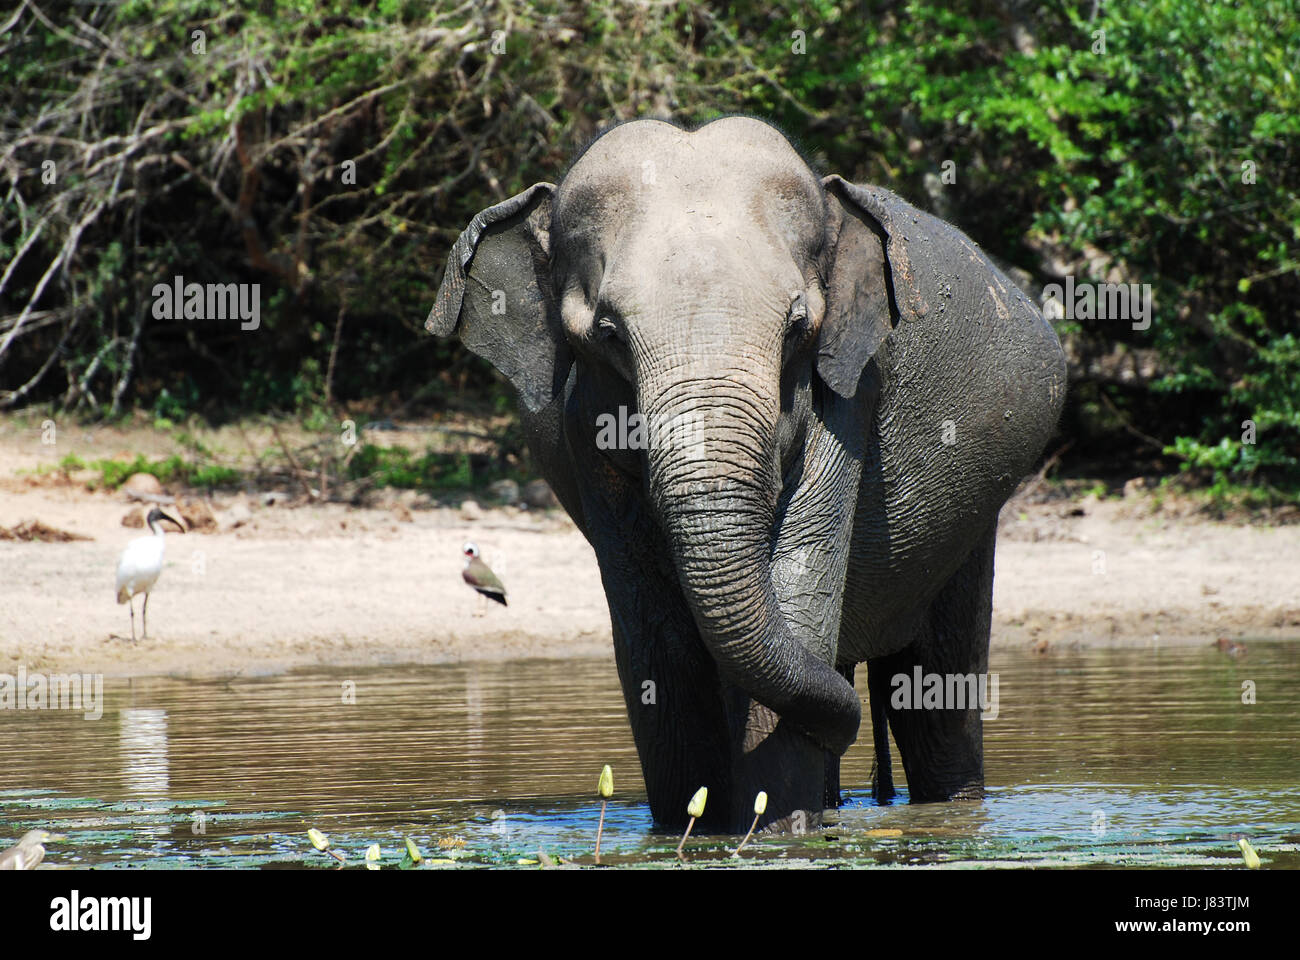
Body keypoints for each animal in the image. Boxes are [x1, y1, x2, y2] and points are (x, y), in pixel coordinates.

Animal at [427, 116, 1066, 833]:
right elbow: (659, 651)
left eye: (797, 326)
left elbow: (797, 596)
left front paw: (774, 836)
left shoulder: (845, 394)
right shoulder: (584, 432)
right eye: (609, 334)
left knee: (937, 692)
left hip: (973, 519)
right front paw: (696, 828)